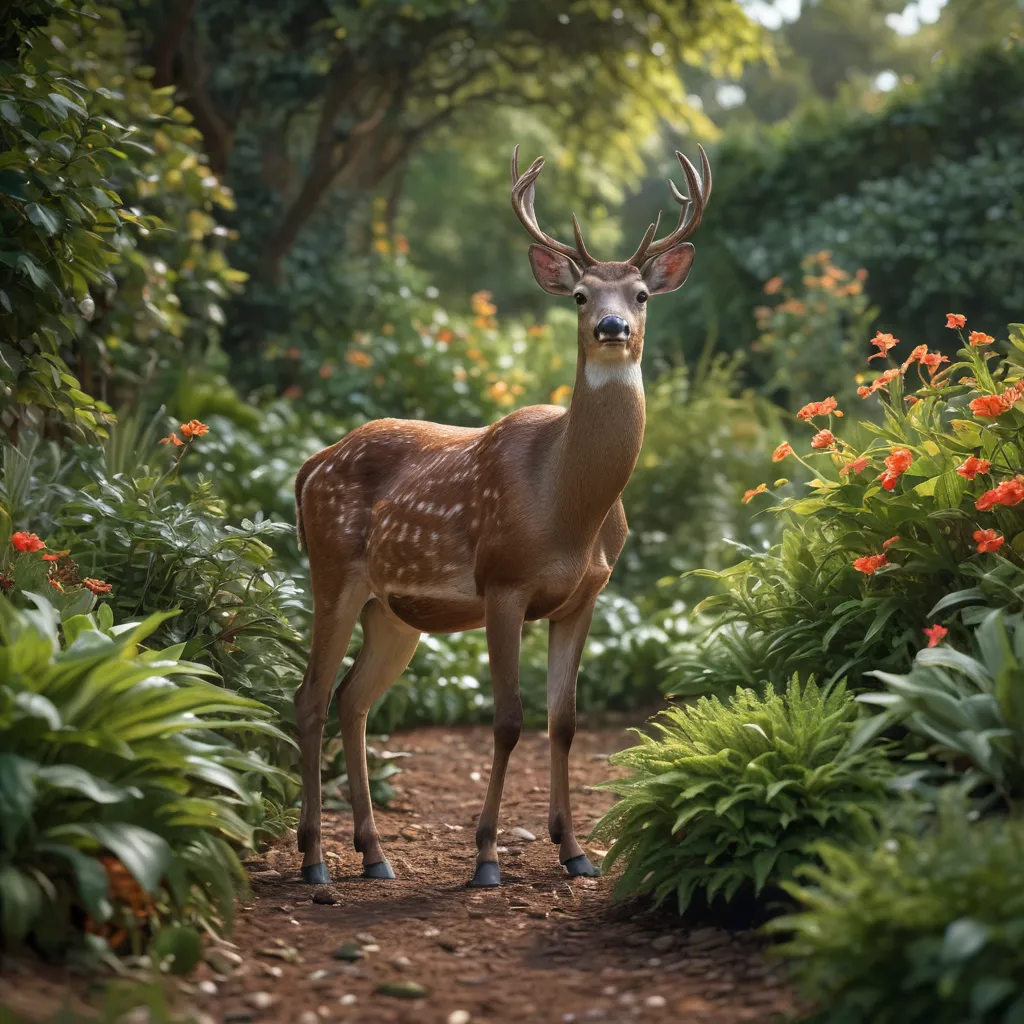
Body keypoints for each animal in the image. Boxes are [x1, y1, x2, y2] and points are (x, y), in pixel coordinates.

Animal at [293, 143, 711, 888]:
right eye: (580, 295)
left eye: (640, 295)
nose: (612, 328)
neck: (566, 509)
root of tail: (312, 464)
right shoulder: (502, 582)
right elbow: (509, 720)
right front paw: (487, 856)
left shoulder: (586, 594)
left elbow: (564, 720)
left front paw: (577, 852)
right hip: (331, 571)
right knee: (310, 698)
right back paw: (314, 862)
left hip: (391, 610)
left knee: (352, 699)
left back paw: (375, 856)